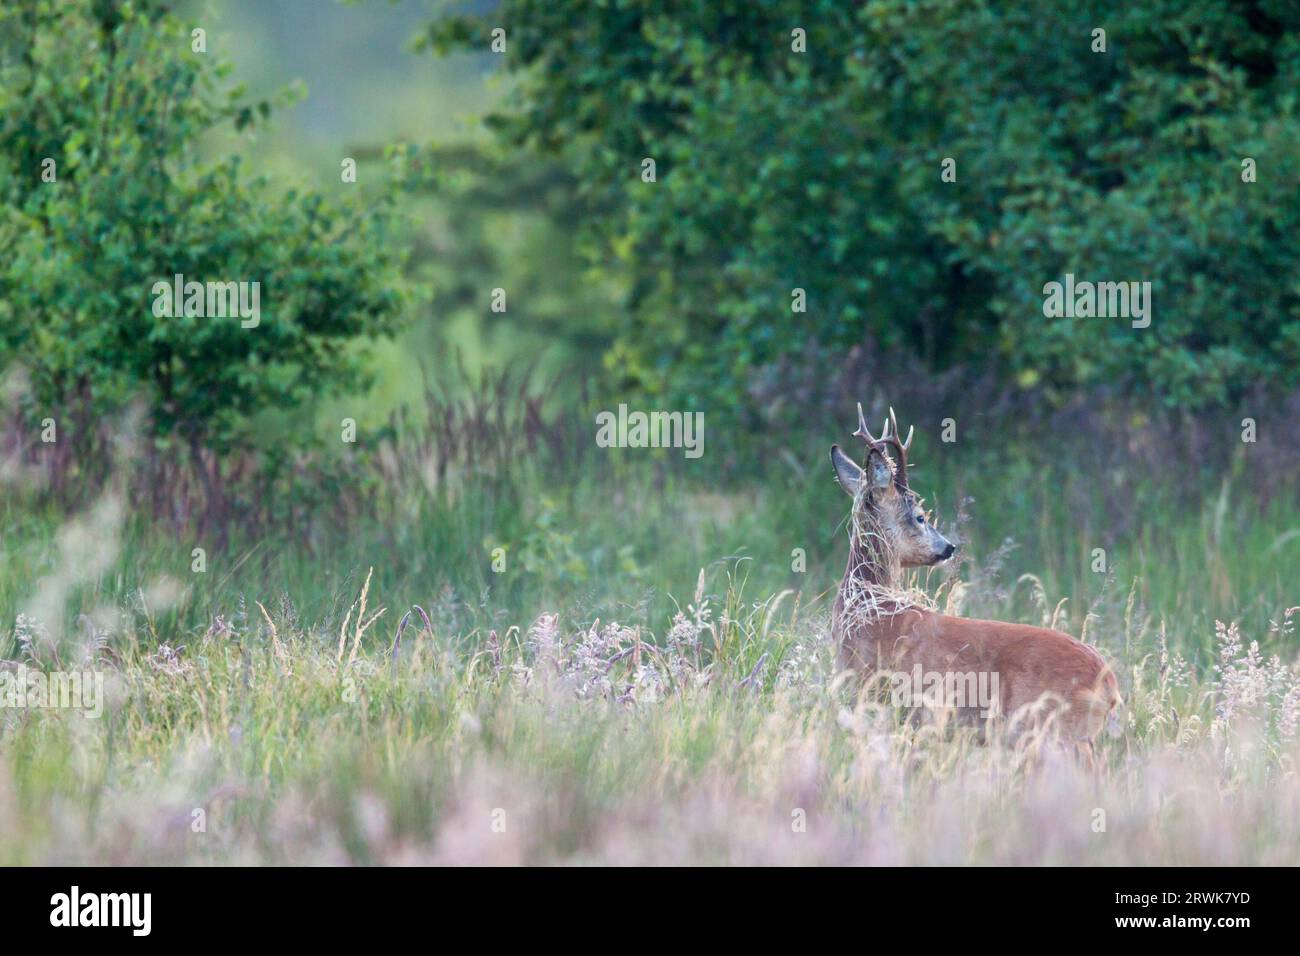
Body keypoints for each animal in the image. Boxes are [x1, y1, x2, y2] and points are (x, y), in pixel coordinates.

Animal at [829, 404, 1121, 763]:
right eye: (921, 517)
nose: (948, 547)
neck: (868, 606)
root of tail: (1109, 686)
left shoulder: (876, 694)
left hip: (1053, 733)